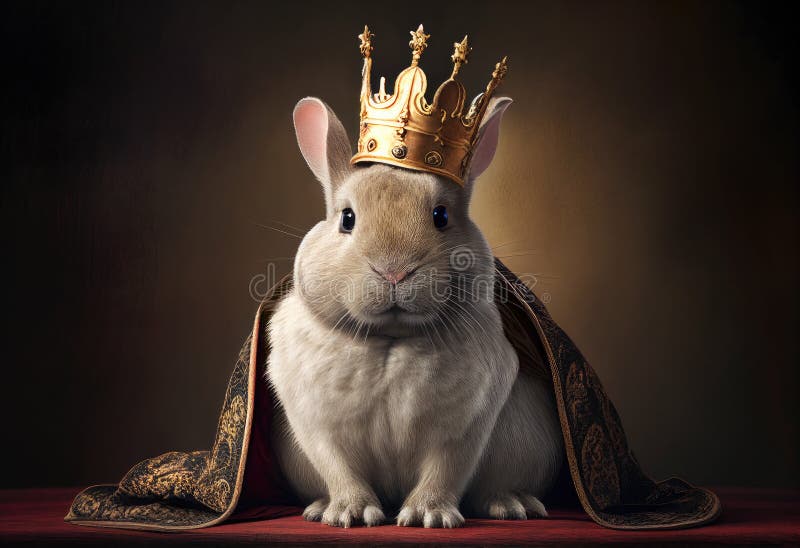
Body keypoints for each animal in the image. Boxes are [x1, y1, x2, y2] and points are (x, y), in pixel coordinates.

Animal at [265, 96, 563, 529]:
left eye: (441, 216)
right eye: (347, 218)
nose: (394, 270)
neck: (390, 340)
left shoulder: (465, 426)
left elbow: (446, 469)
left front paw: (428, 515)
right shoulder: (317, 425)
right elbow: (338, 468)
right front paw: (351, 513)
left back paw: (512, 505)